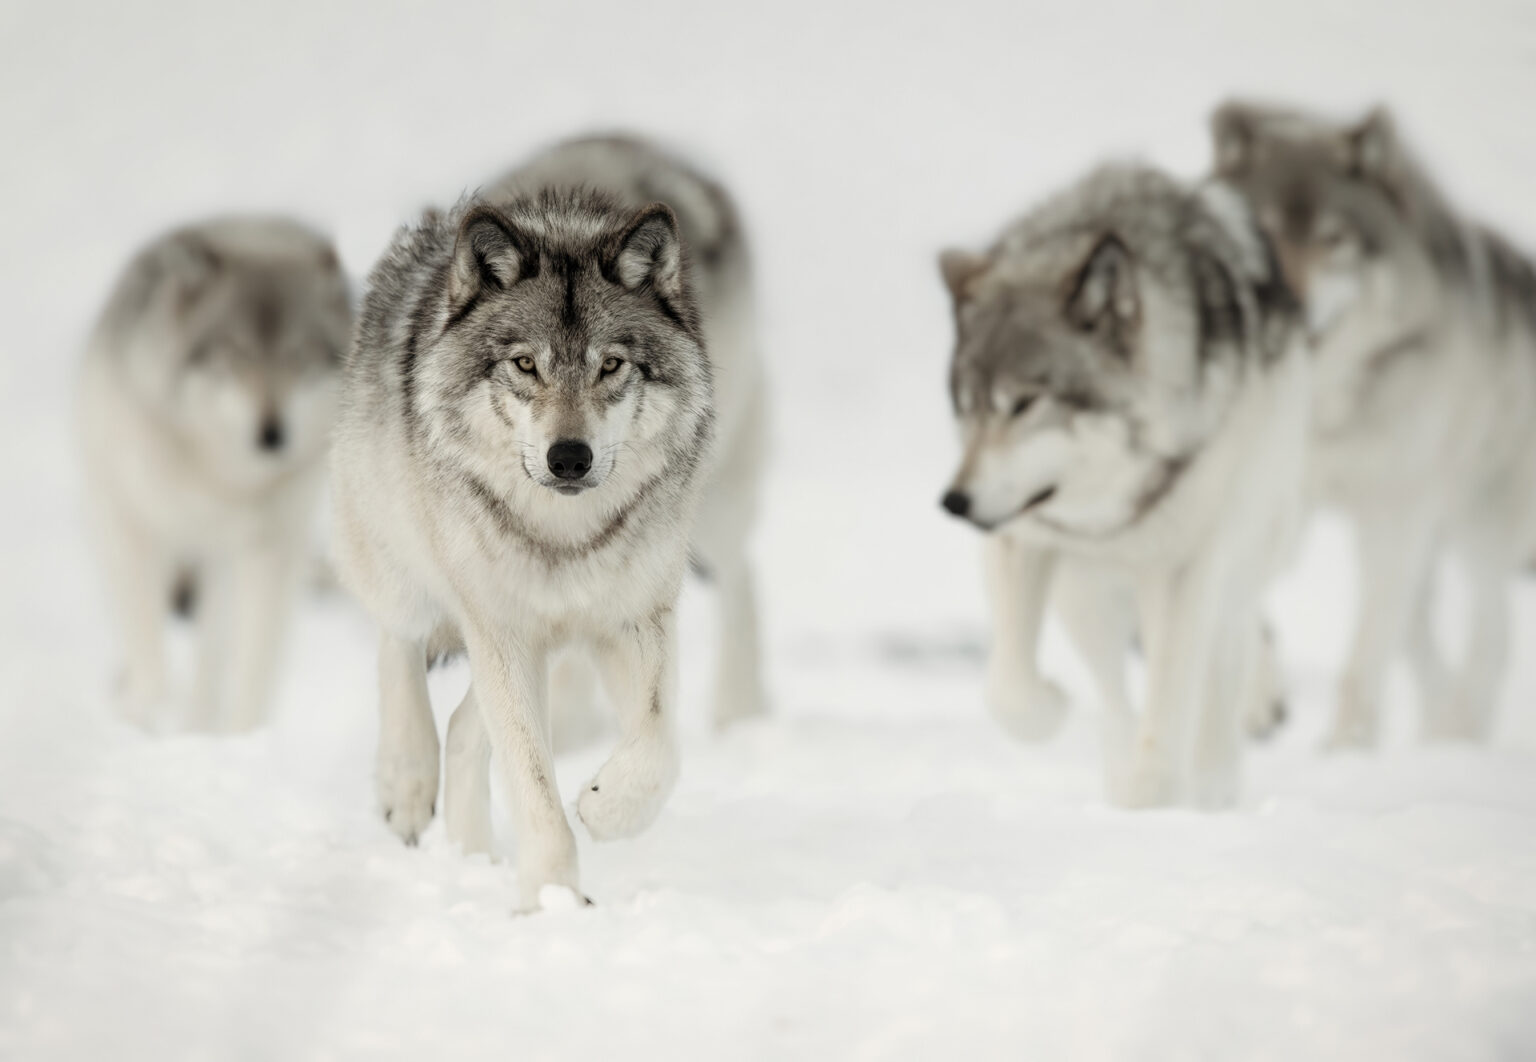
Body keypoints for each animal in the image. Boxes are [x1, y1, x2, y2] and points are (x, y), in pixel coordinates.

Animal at [80, 217, 350, 732]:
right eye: (236, 353)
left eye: (299, 356)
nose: (272, 435)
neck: (219, 473)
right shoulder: (136, 528)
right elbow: (147, 642)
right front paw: (145, 719)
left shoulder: (264, 549)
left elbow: (250, 662)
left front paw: (241, 736)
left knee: (216, 657)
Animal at [330, 161, 716, 908]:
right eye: (526, 365)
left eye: (610, 365)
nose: (569, 458)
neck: (566, 537)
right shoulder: (500, 629)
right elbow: (534, 784)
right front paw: (552, 900)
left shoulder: (633, 618)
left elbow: (660, 742)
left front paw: (606, 807)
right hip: (411, 570)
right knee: (400, 643)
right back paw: (406, 783)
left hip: (544, 645)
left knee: (463, 729)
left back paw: (471, 854)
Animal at [484, 137, 768, 739]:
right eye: (525, 364)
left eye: (611, 364)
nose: (569, 459)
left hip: (708, 498)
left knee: (741, 577)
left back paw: (740, 713)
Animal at [939, 165, 1309, 807]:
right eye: (967, 407)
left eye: (1024, 403)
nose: (955, 502)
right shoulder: (1024, 536)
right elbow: (1009, 690)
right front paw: (1053, 708)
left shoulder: (1185, 571)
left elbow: (1172, 698)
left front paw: (1159, 800)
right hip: (1085, 595)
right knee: (1113, 690)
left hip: (1234, 566)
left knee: (1225, 664)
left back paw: (1212, 787)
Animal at [1212, 102, 1536, 746]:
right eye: (1262, 231)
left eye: (1333, 240)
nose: (1290, 303)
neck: (1320, 410)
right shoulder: (1265, 503)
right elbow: (1248, 609)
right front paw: (1259, 701)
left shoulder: (1392, 520)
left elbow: (1361, 668)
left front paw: (1344, 755)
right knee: (1425, 647)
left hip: (1473, 530)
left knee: (1492, 637)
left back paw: (1456, 738)